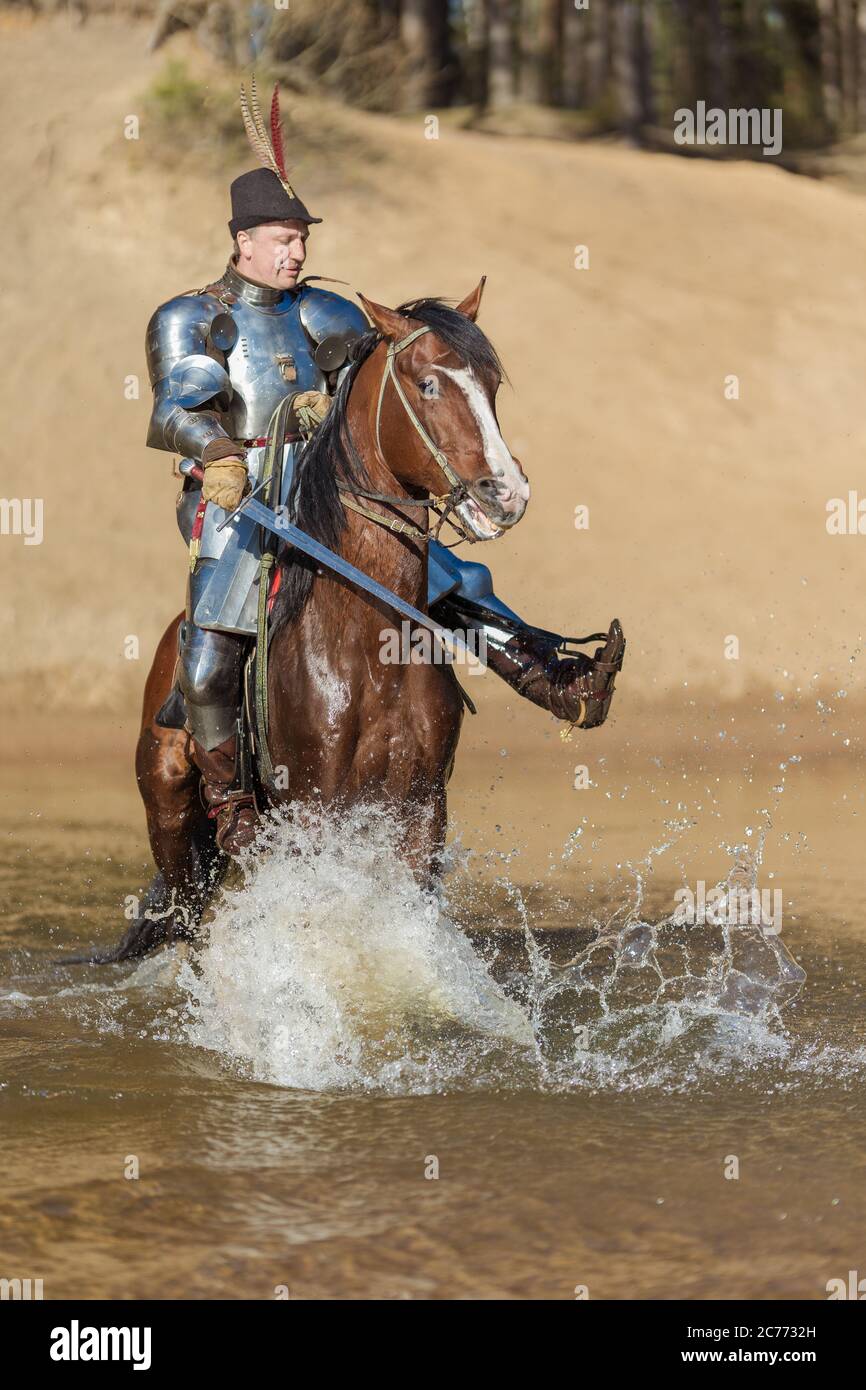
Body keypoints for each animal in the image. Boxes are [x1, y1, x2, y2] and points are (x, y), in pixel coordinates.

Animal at [97, 281, 530, 962]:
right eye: (428, 384)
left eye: (490, 384)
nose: (506, 493)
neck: (372, 648)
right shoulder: (315, 811)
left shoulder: (421, 812)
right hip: (173, 821)